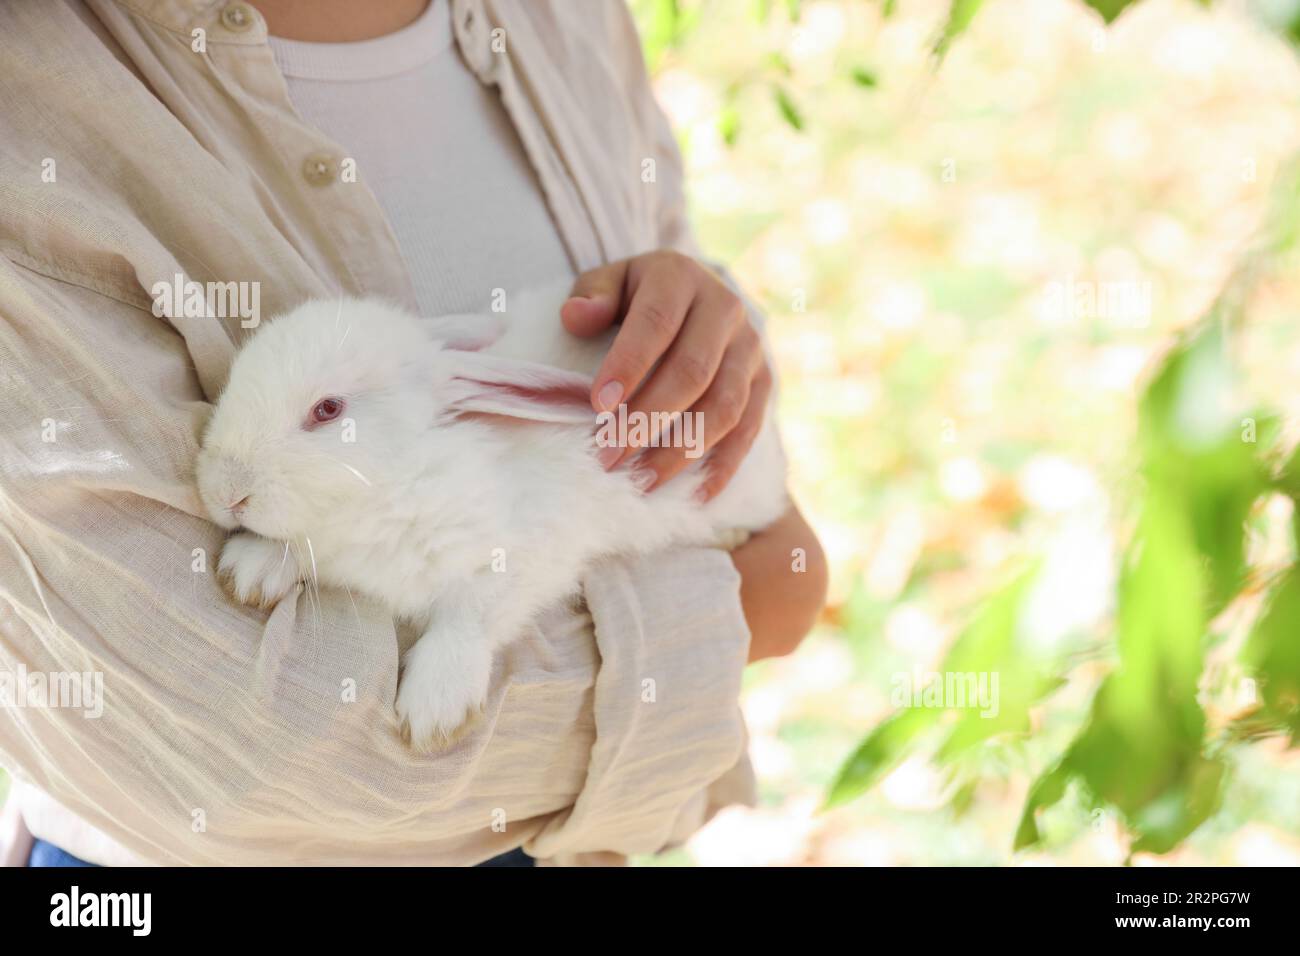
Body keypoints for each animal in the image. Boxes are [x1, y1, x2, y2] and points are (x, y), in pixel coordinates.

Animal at [196, 280, 789, 749]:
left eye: (328, 410)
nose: (223, 490)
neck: (404, 475)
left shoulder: (526, 559)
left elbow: (470, 618)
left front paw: (435, 712)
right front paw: (251, 569)